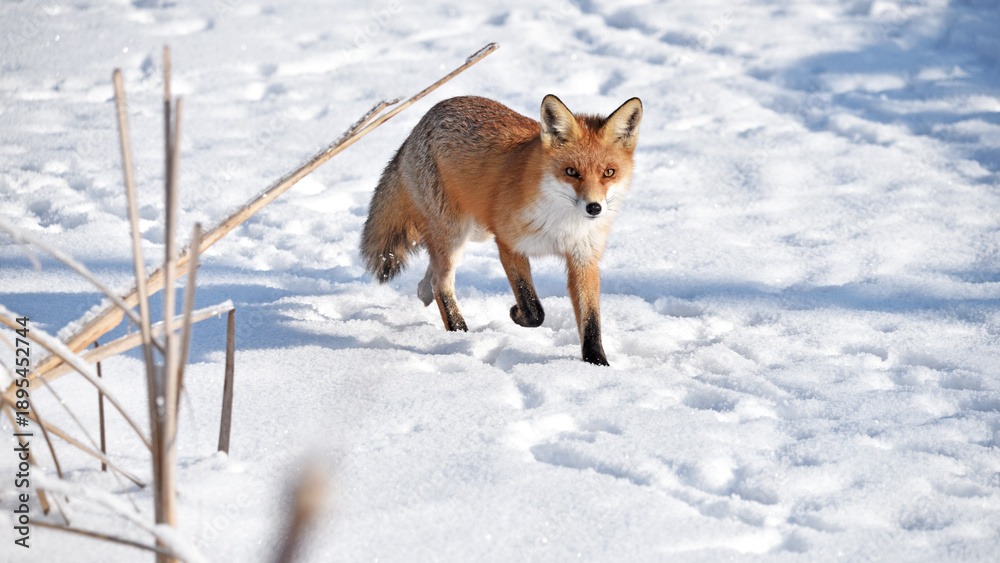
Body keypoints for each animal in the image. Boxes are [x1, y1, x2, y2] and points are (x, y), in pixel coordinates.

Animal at [360, 94, 642, 366]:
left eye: (609, 172)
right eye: (571, 172)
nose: (594, 208)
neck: (561, 226)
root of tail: (428, 115)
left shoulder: (584, 258)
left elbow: (591, 321)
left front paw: (597, 364)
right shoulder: (508, 244)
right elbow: (533, 309)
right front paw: (516, 314)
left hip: (474, 231)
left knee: (430, 276)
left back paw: (425, 293)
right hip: (455, 233)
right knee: (442, 283)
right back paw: (459, 331)